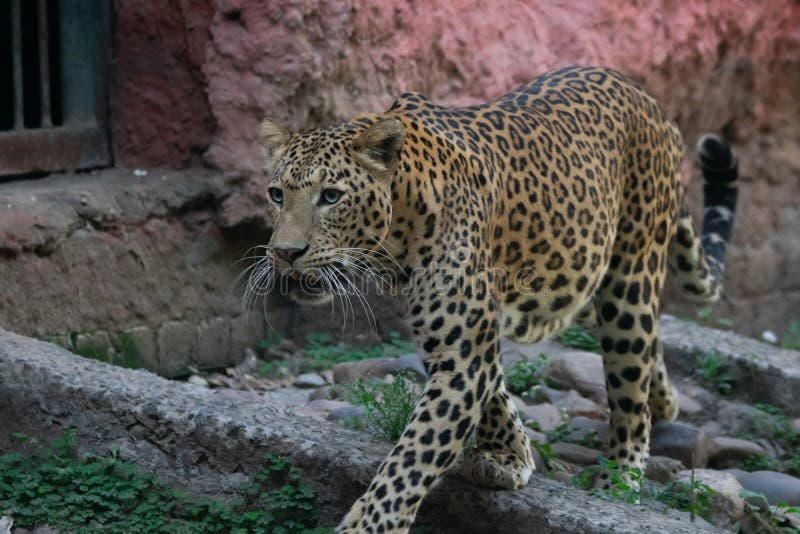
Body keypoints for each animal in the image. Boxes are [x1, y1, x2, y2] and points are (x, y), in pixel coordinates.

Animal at [256, 66, 739, 533]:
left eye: (330, 196)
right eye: (276, 194)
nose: (285, 253)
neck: (396, 234)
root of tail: (650, 100)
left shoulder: (463, 350)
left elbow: (412, 457)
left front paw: (369, 525)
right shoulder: (451, 338)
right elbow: (492, 392)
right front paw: (508, 455)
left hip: (629, 280)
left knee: (630, 384)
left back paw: (621, 478)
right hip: (587, 272)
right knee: (647, 346)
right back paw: (666, 400)